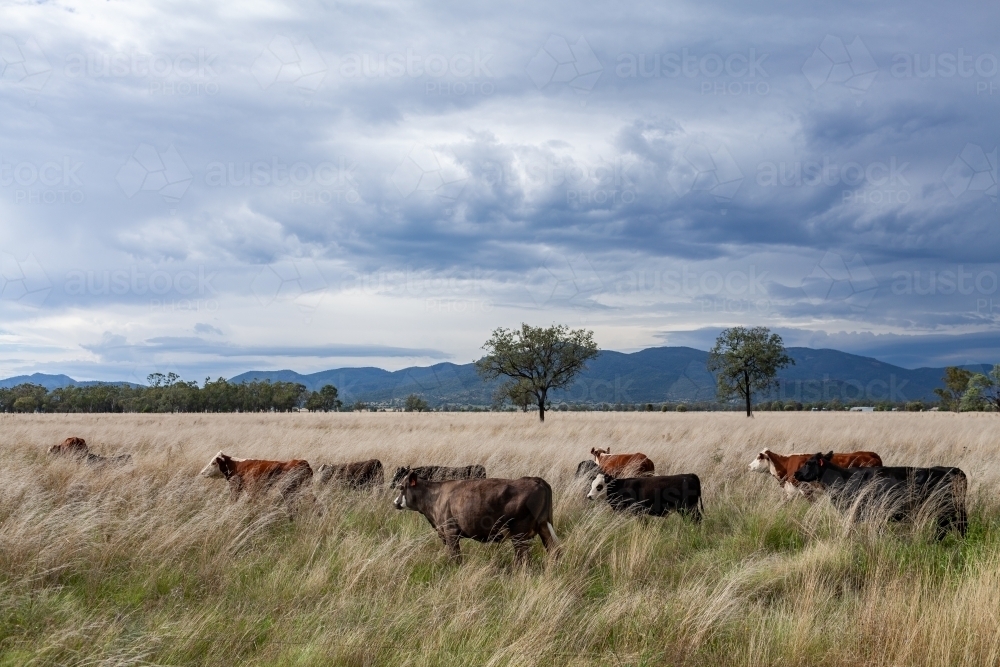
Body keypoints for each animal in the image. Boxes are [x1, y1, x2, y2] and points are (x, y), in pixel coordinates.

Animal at [393, 472, 558, 564]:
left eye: (401, 487)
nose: (394, 502)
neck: (435, 497)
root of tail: (536, 479)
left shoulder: (450, 532)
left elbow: (456, 557)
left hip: (519, 533)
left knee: (524, 558)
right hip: (543, 528)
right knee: (554, 551)